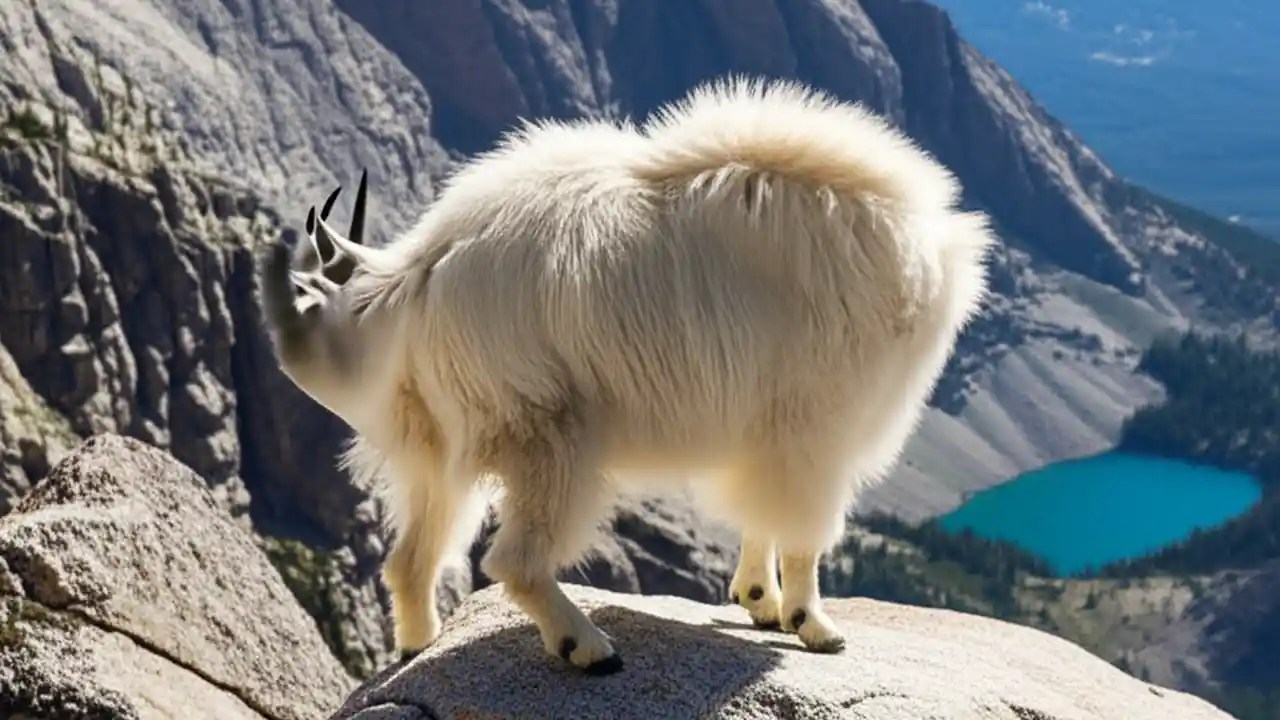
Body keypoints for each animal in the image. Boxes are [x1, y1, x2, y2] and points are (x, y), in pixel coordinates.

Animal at [260, 77, 993, 674]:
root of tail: (424, 273)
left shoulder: (766, 428)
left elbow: (762, 515)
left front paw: (758, 600)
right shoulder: (818, 426)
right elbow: (807, 532)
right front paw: (813, 626)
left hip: (439, 445)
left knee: (412, 559)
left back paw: (420, 646)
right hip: (547, 435)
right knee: (512, 560)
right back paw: (587, 646)